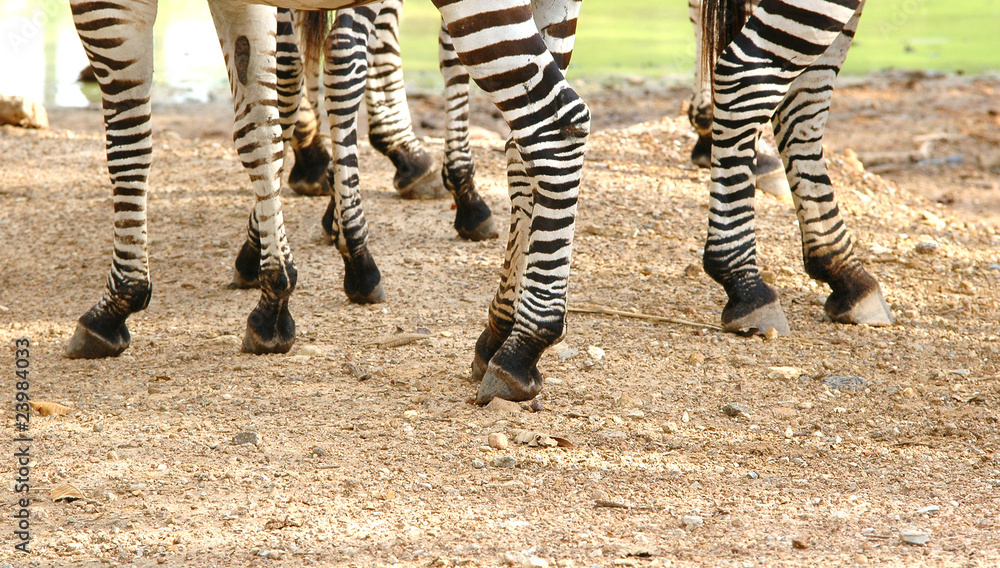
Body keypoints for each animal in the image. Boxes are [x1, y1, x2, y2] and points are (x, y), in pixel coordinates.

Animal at [68, 0, 589, 406]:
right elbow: (260, 129)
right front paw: (274, 292)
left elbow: (127, 144)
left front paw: (118, 300)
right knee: (521, 150)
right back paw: (499, 325)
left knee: (554, 127)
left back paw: (523, 345)